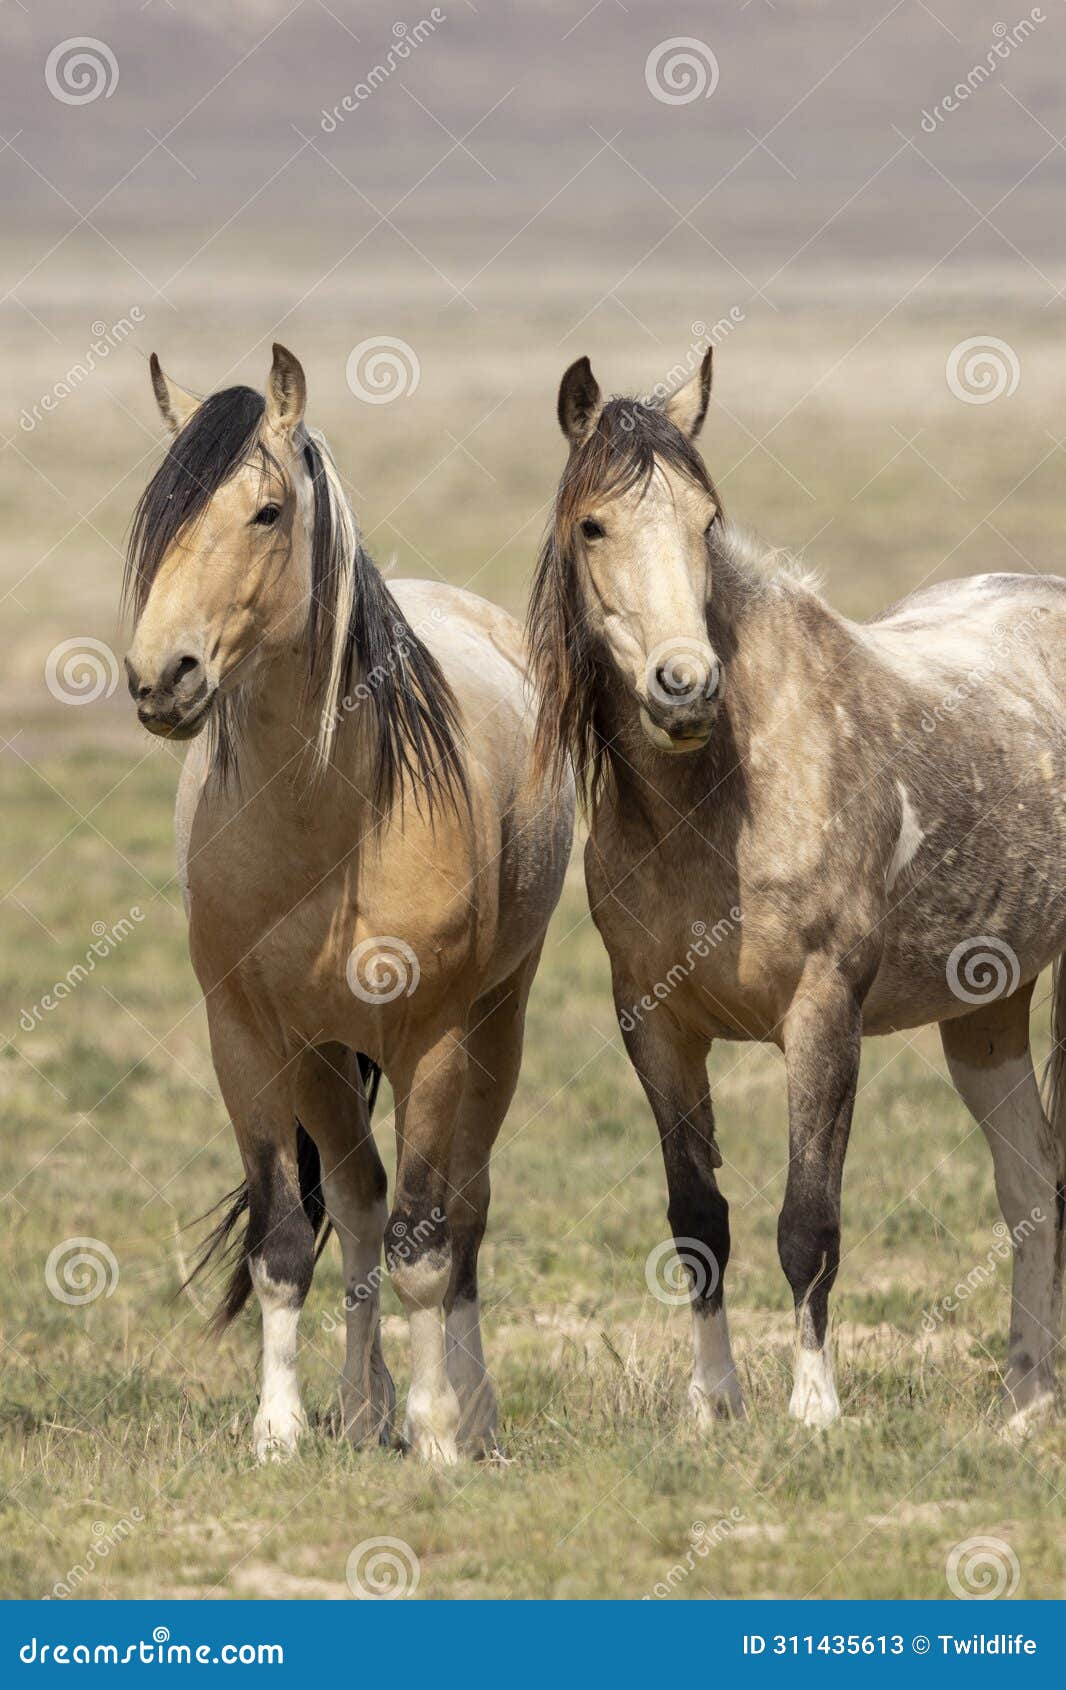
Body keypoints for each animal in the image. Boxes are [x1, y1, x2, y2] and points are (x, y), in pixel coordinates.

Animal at [123, 344, 574, 1464]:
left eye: (267, 511)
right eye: (160, 511)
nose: (161, 677)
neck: (329, 819)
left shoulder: (434, 1037)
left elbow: (427, 1244)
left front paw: (442, 1433)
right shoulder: (247, 1036)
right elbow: (289, 1242)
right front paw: (280, 1430)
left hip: (494, 1024)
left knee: (461, 1211)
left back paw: (468, 1410)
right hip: (324, 1057)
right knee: (362, 1204)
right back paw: (363, 1408)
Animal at [528, 343, 1066, 1431]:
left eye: (705, 520)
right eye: (593, 524)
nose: (684, 685)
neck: (727, 795)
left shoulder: (822, 1016)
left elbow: (807, 1222)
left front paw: (814, 1407)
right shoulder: (655, 1024)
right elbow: (698, 1220)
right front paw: (713, 1403)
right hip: (987, 1011)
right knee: (1029, 1185)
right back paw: (1025, 1401)